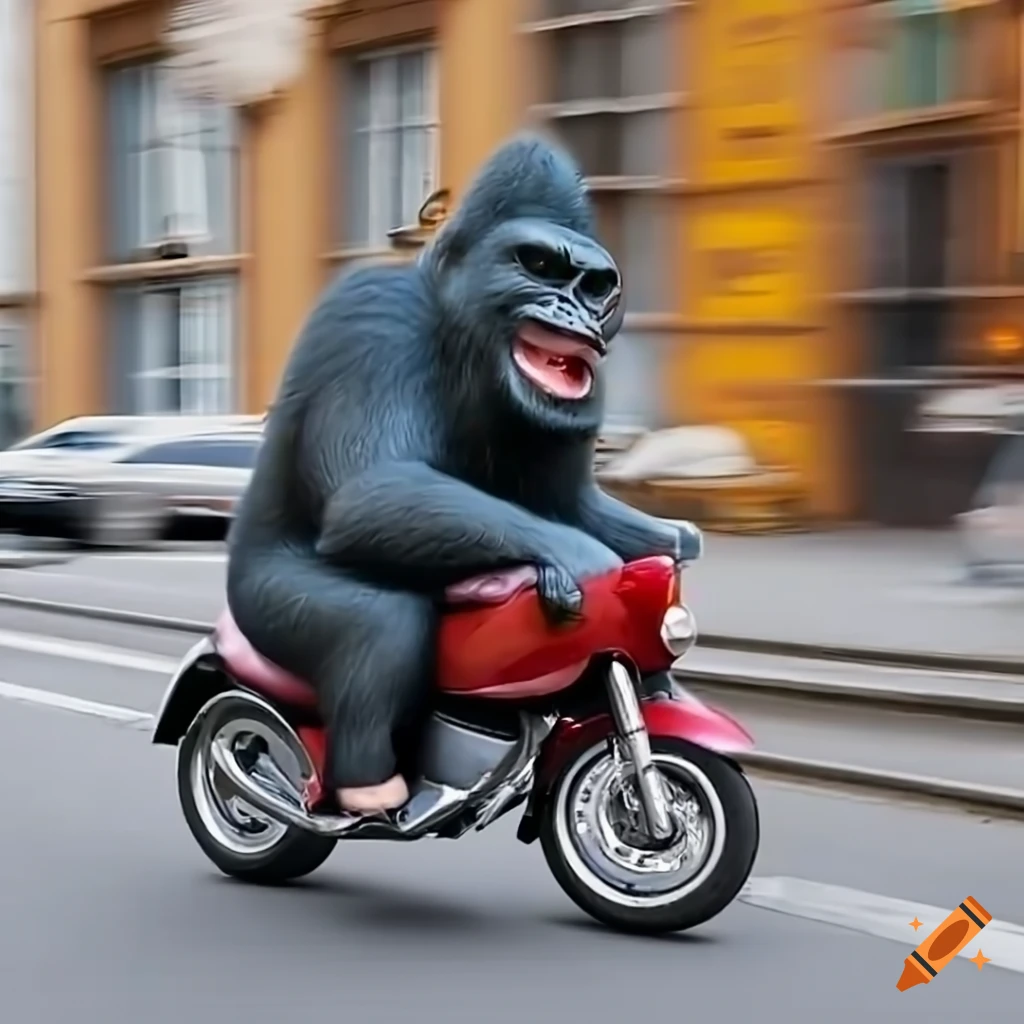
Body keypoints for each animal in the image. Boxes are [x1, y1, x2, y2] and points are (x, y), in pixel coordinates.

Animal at [226, 134, 693, 815]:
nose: (574, 312)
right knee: (375, 630)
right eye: (538, 266)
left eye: (598, 286)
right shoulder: (374, 317)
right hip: (261, 611)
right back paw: (360, 794)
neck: (462, 332)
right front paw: (585, 563)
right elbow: (369, 491)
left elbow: (572, 503)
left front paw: (674, 542)